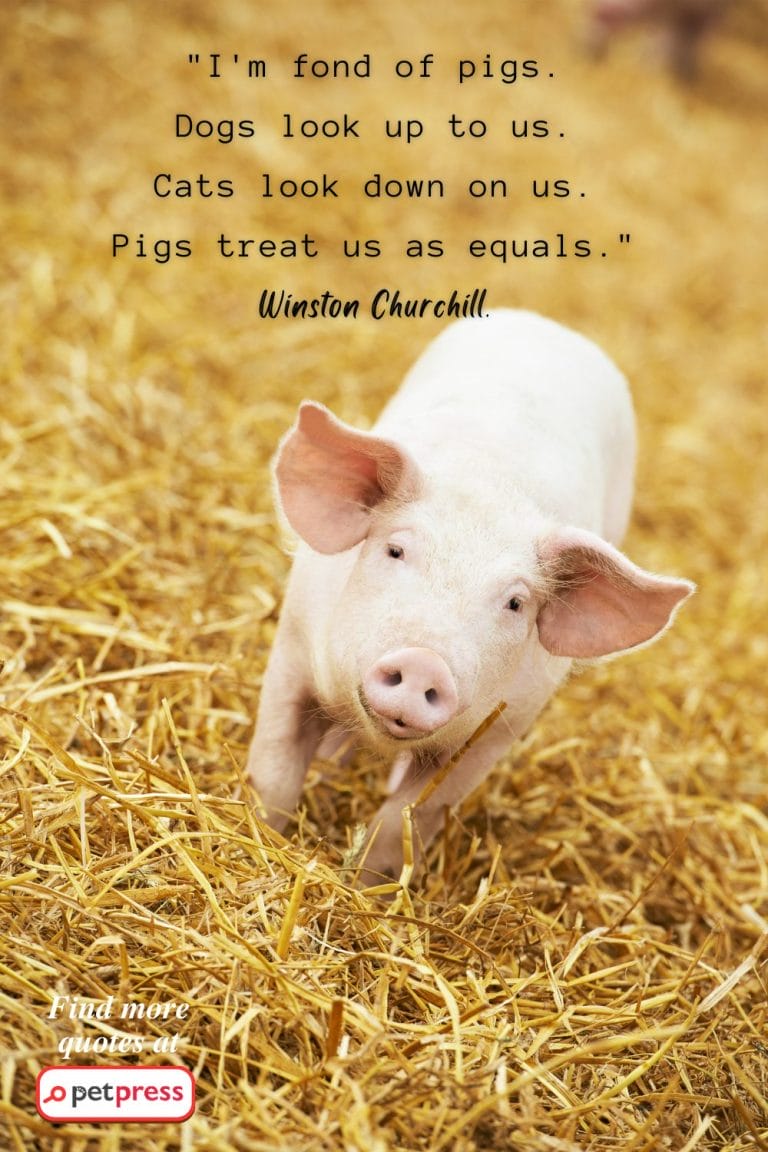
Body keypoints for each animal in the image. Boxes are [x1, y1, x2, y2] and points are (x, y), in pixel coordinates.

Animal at [247, 310, 694, 885]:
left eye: (515, 604)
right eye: (395, 550)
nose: (423, 662)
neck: (493, 481)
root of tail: (551, 326)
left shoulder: (499, 729)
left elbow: (410, 817)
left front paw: (368, 886)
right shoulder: (294, 645)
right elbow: (275, 767)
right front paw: (263, 833)